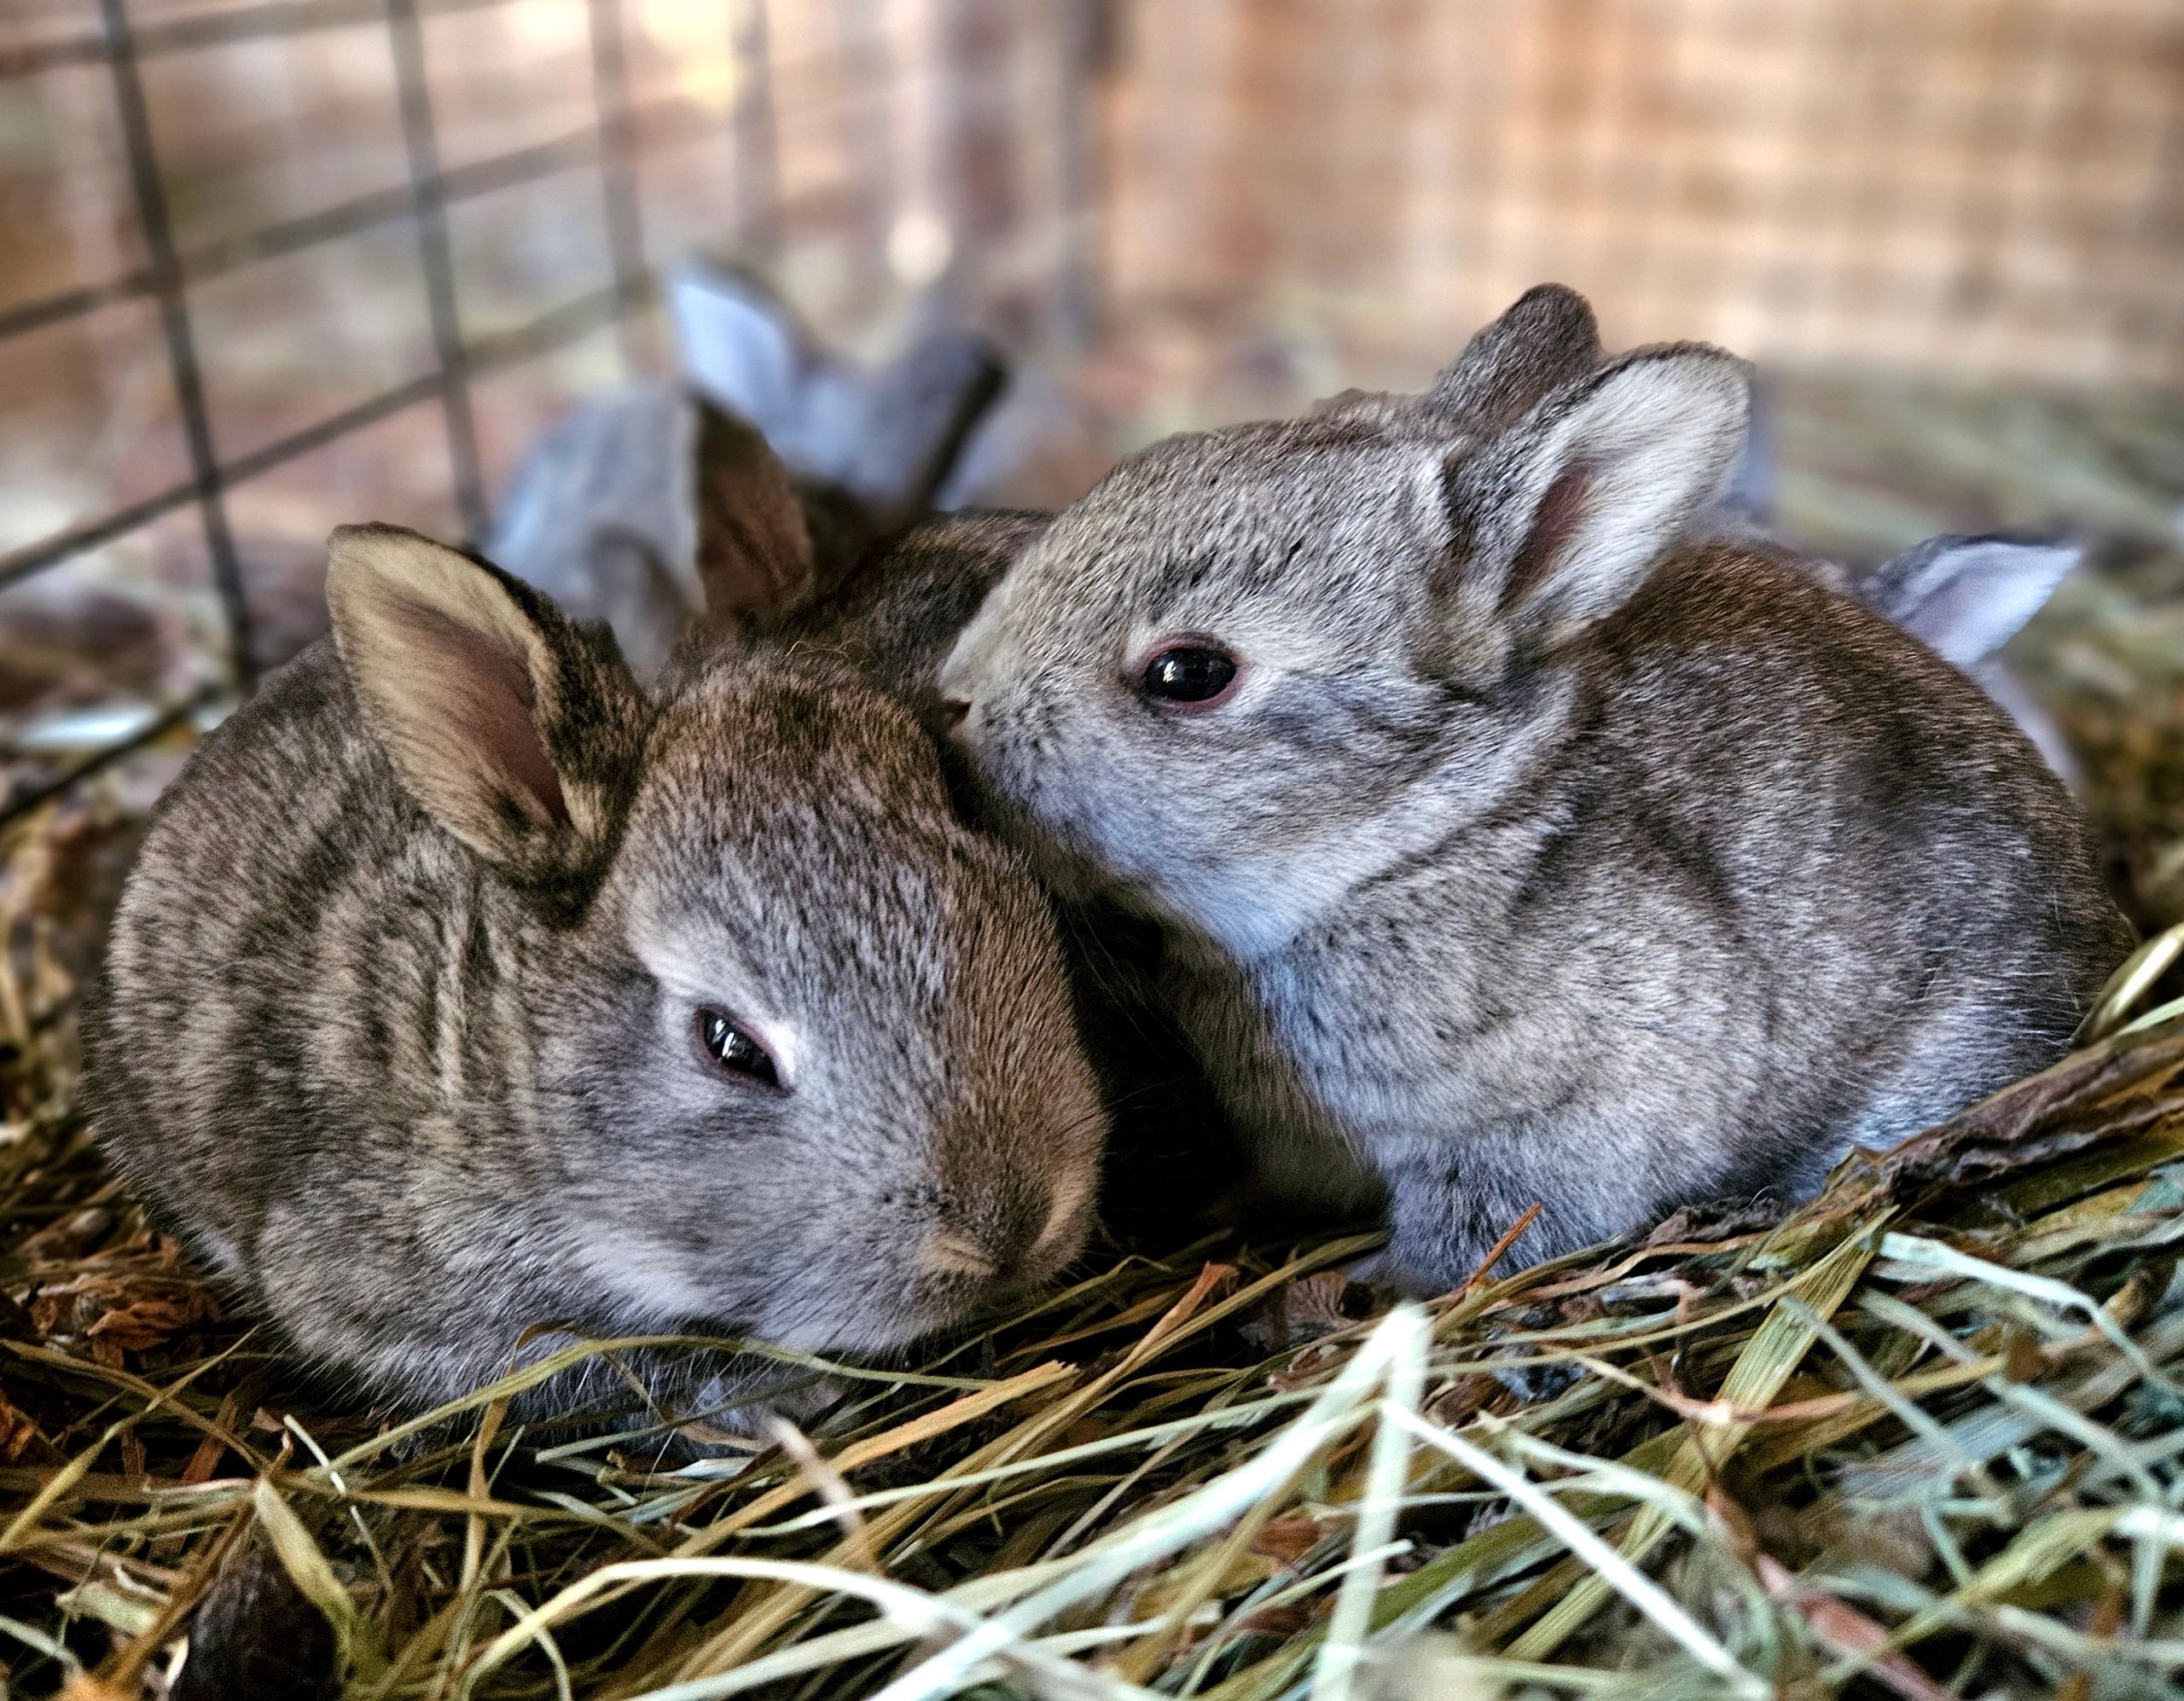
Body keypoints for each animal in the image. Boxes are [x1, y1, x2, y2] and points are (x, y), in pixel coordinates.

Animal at [935, 283, 2135, 1295]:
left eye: (1187, 673)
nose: (958, 703)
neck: (1416, 840)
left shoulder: (1549, 1127)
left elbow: (1481, 1230)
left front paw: (1364, 1295)